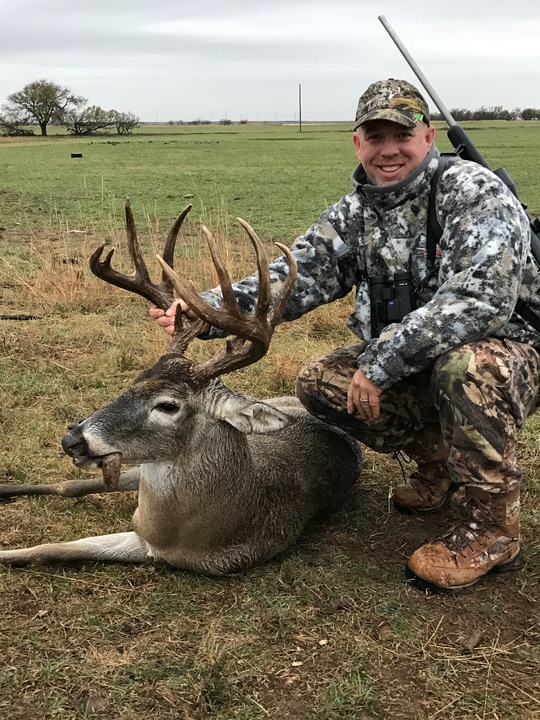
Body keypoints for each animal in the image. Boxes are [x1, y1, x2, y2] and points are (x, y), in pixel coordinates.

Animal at [0, 204, 363, 575]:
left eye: (168, 405)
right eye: (134, 381)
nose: (72, 438)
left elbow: (50, 551)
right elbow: (48, 545)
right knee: (70, 484)